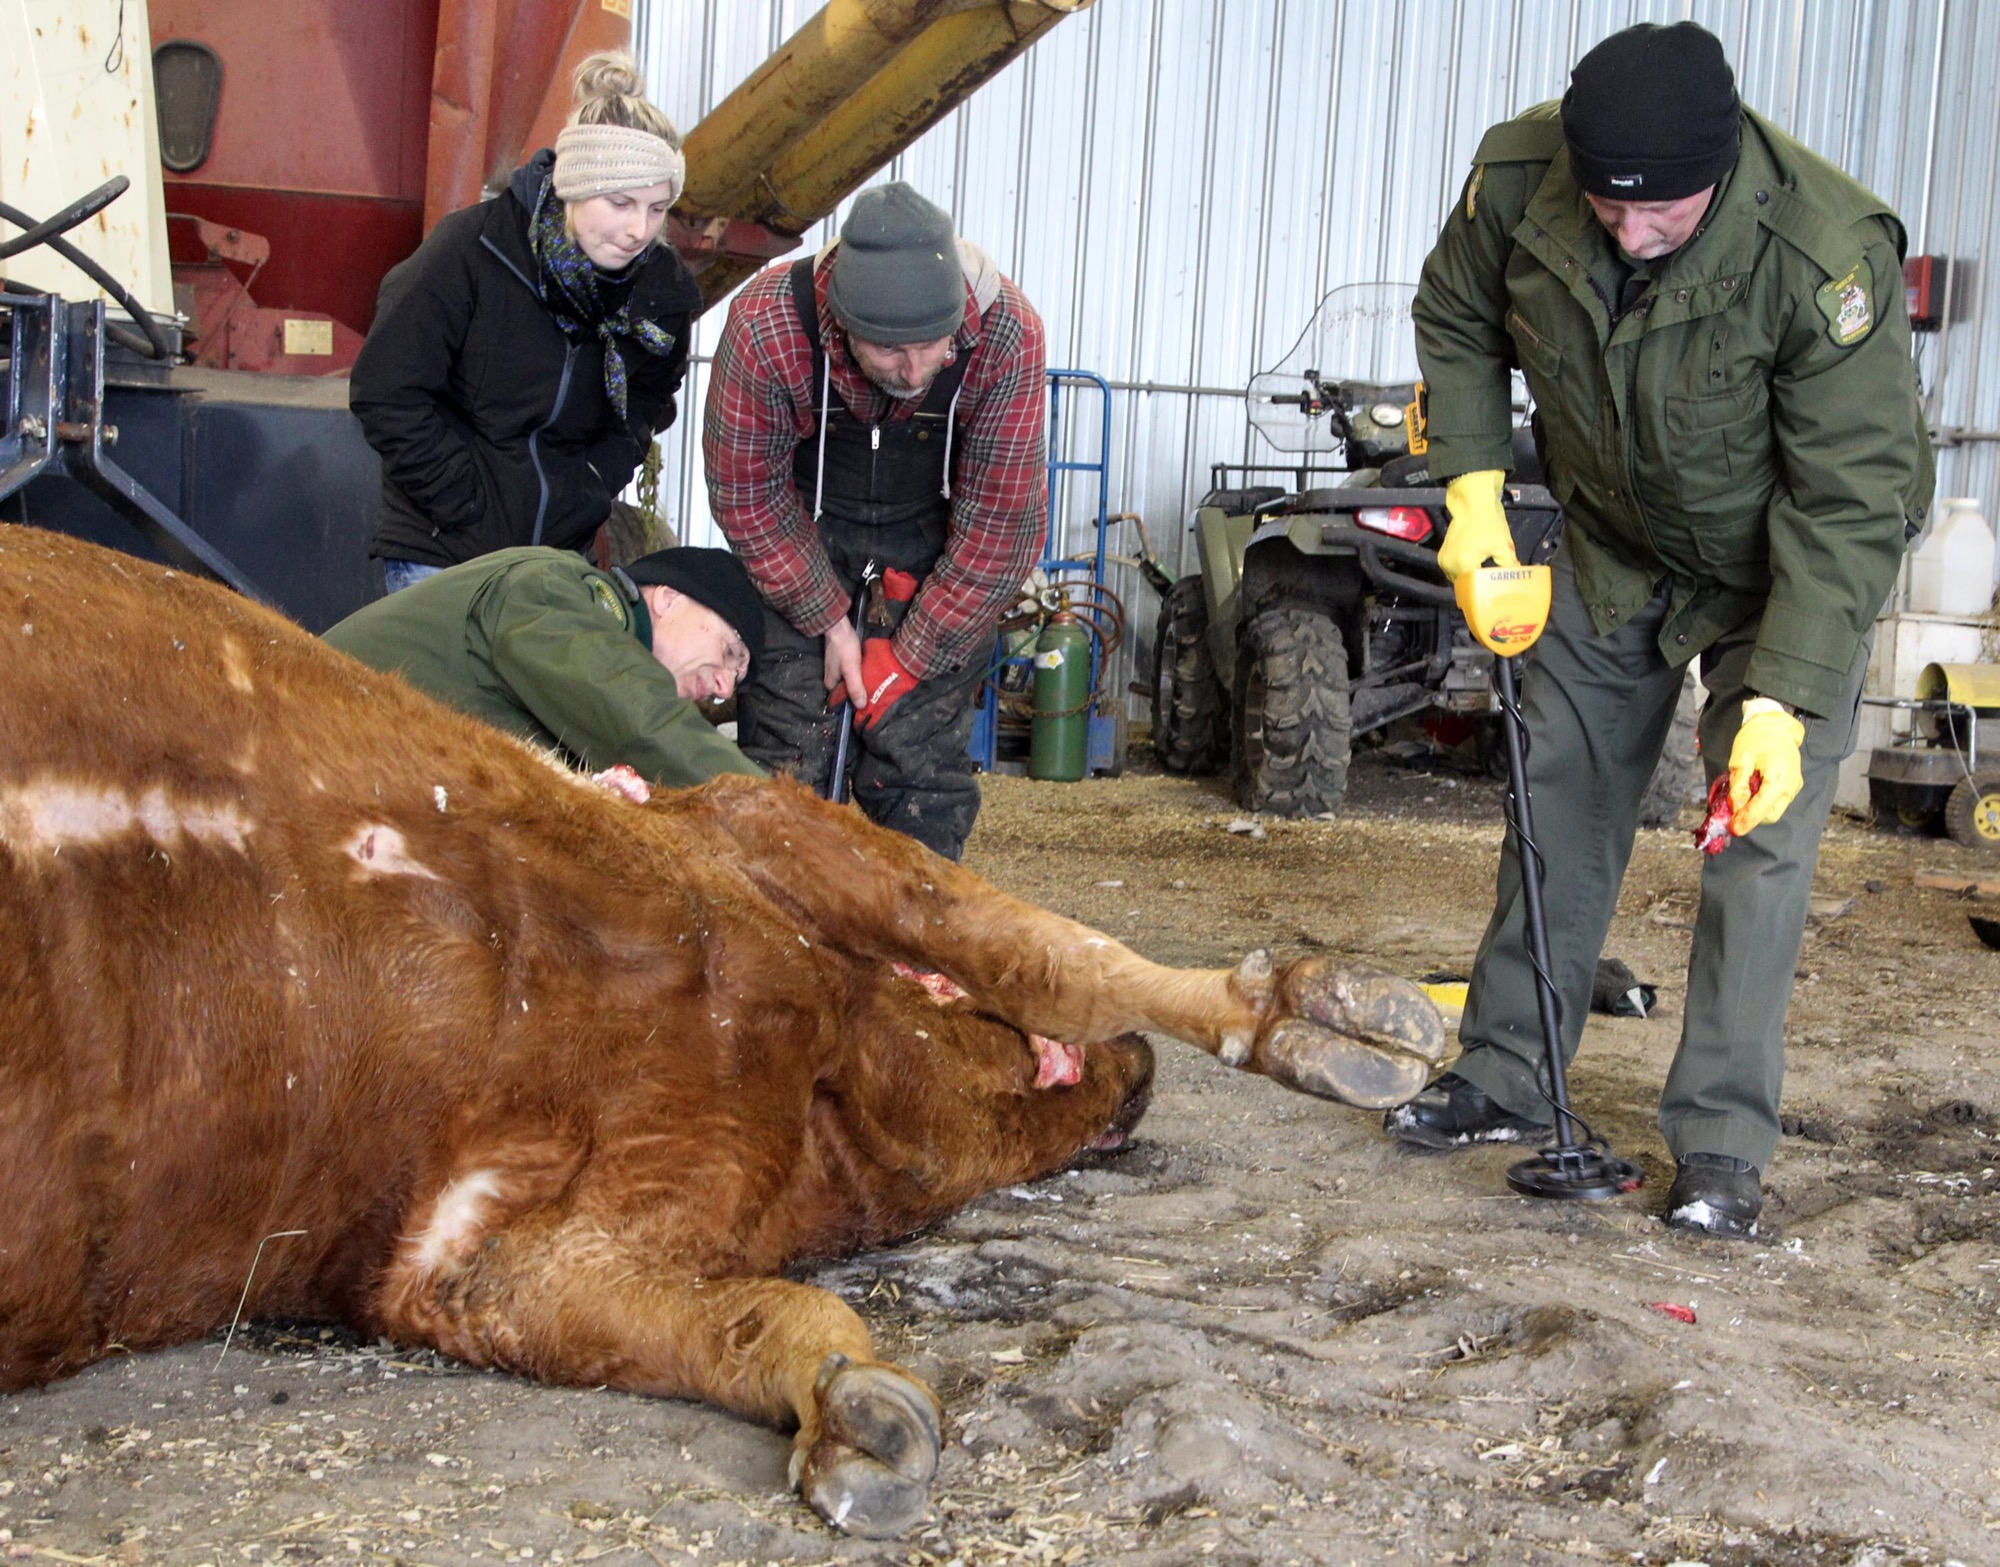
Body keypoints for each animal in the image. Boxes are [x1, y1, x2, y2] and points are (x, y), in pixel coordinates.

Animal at [0, 526, 1444, 1537]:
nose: (1134, 1090)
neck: (826, 1068)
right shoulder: (758, 828)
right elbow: (1028, 954)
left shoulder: (482, 1255)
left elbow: (748, 1305)